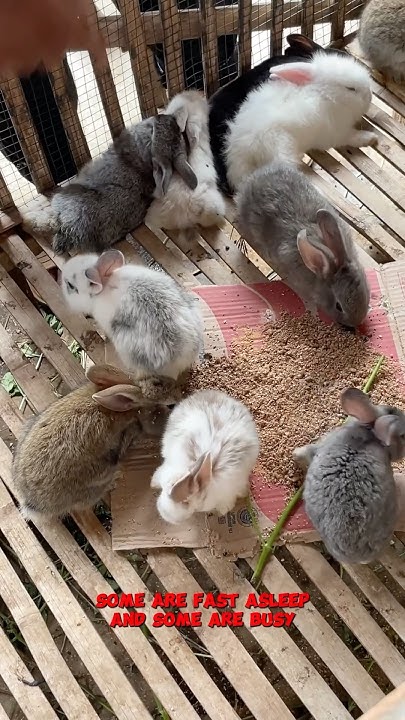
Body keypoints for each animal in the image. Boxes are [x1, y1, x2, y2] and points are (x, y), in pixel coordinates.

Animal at [21, 114, 196, 254]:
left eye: (153, 129)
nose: (167, 116)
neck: (143, 163)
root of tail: (73, 231)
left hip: (62, 200)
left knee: (46, 221)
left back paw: (27, 220)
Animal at [224, 51, 376, 192]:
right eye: (351, 88)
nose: (369, 97)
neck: (326, 95)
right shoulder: (336, 133)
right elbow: (351, 137)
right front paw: (371, 138)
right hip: (281, 149)